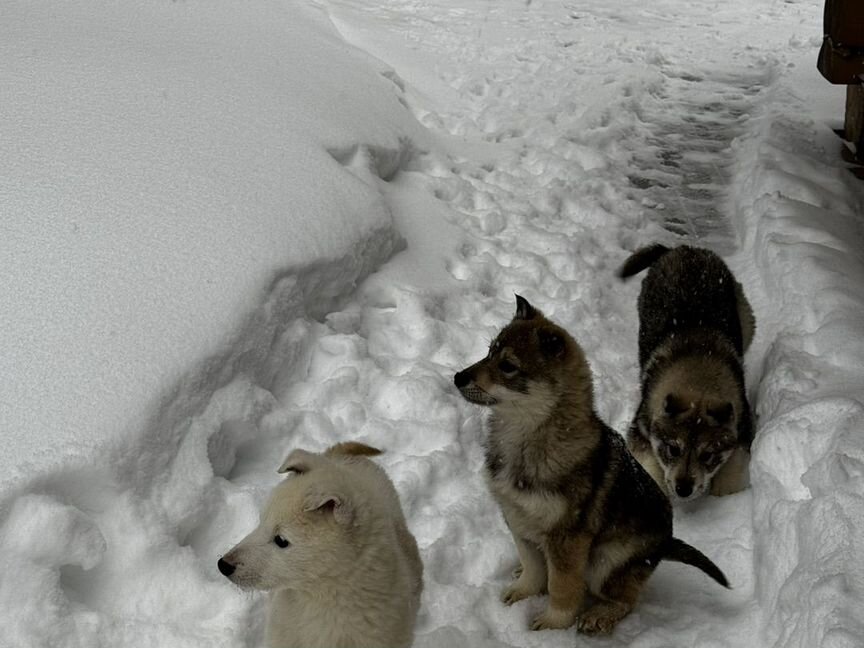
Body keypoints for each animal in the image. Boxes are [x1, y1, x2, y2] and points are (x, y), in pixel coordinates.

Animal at [452, 296, 728, 636]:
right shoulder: (517, 518)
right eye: (489, 352)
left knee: (625, 598)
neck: (527, 435)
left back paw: (600, 615)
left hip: (605, 560)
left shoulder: (568, 538)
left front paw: (553, 623)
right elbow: (532, 565)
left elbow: (562, 586)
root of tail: (665, 545)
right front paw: (523, 590)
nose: (458, 377)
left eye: (507, 366)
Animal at [620, 243, 756, 502]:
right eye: (673, 449)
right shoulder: (639, 431)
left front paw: (726, 494)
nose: (683, 490)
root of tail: (681, 248)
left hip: (746, 319)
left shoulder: (744, 427)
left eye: (707, 456)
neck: (699, 376)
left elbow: (734, 466)